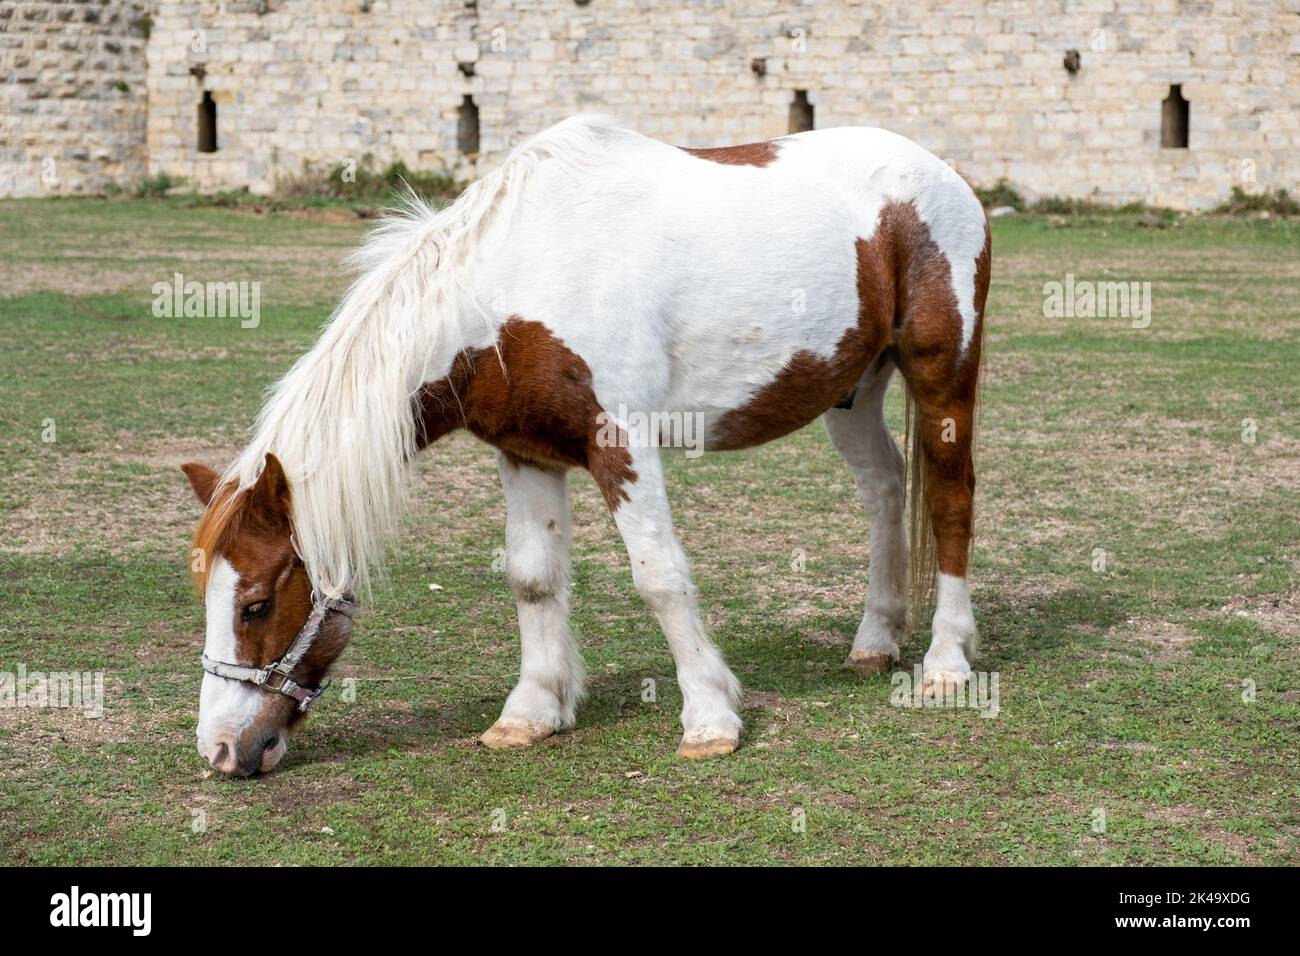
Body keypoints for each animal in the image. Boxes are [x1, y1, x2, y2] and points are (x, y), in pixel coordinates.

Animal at [181, 114, 991, 776]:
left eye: (255, 603)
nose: (220, 750)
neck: (509, 293)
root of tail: (942, 172)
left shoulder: (622, 444)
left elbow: (659, 577)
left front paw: (710, 719)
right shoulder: (526, 453)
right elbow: (533, 578)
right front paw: (531, 713)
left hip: (942, 374)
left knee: (951, 499)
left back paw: (946, 661)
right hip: (851, 391)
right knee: (885, 490)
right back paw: (876, 639)